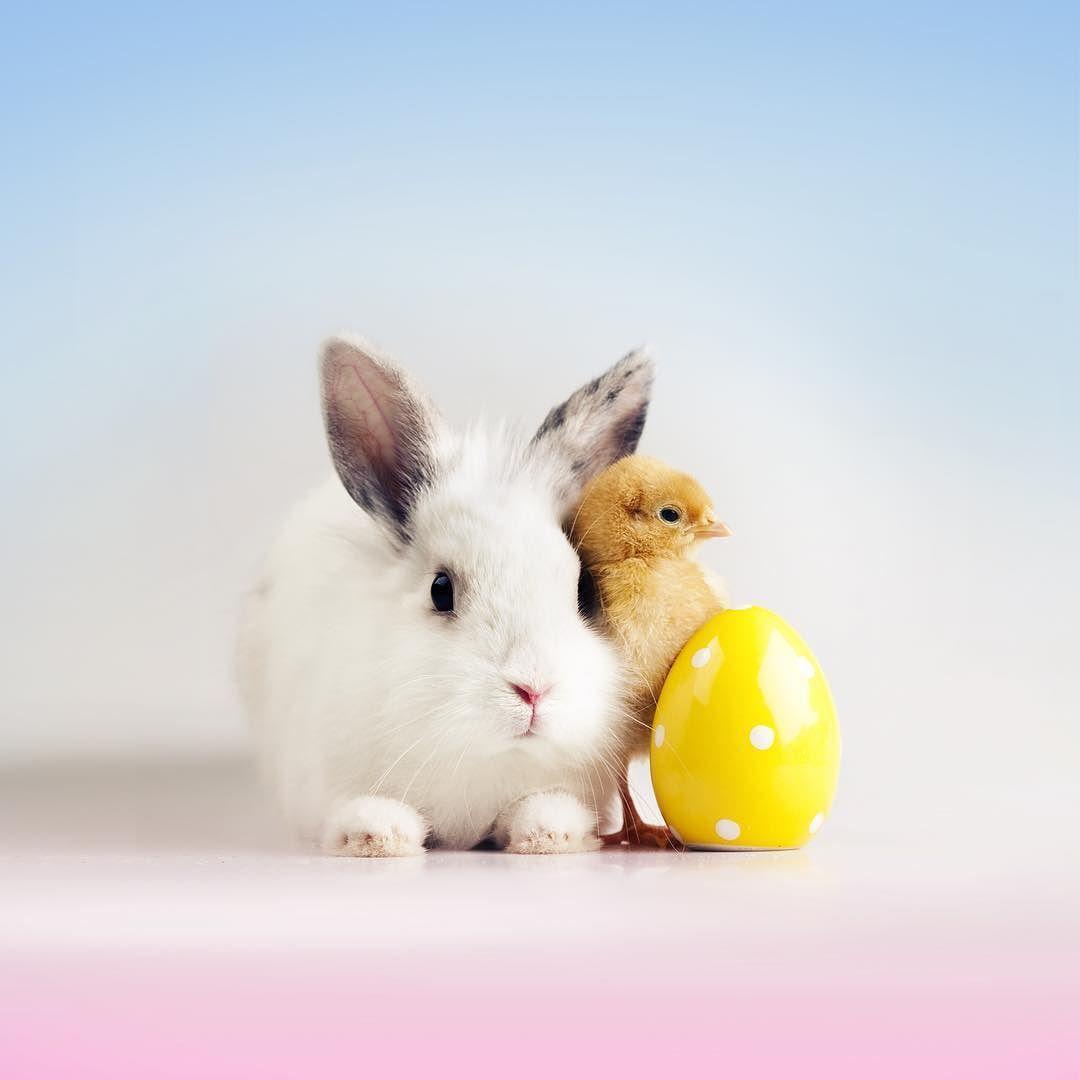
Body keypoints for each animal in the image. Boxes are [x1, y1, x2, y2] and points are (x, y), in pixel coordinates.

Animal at [237, 335, 654, 856]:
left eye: (584, 590)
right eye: (441, 590)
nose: (533, 689)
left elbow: (542, 804)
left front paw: (550, 833)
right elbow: (364, 807)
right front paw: (377, 835)